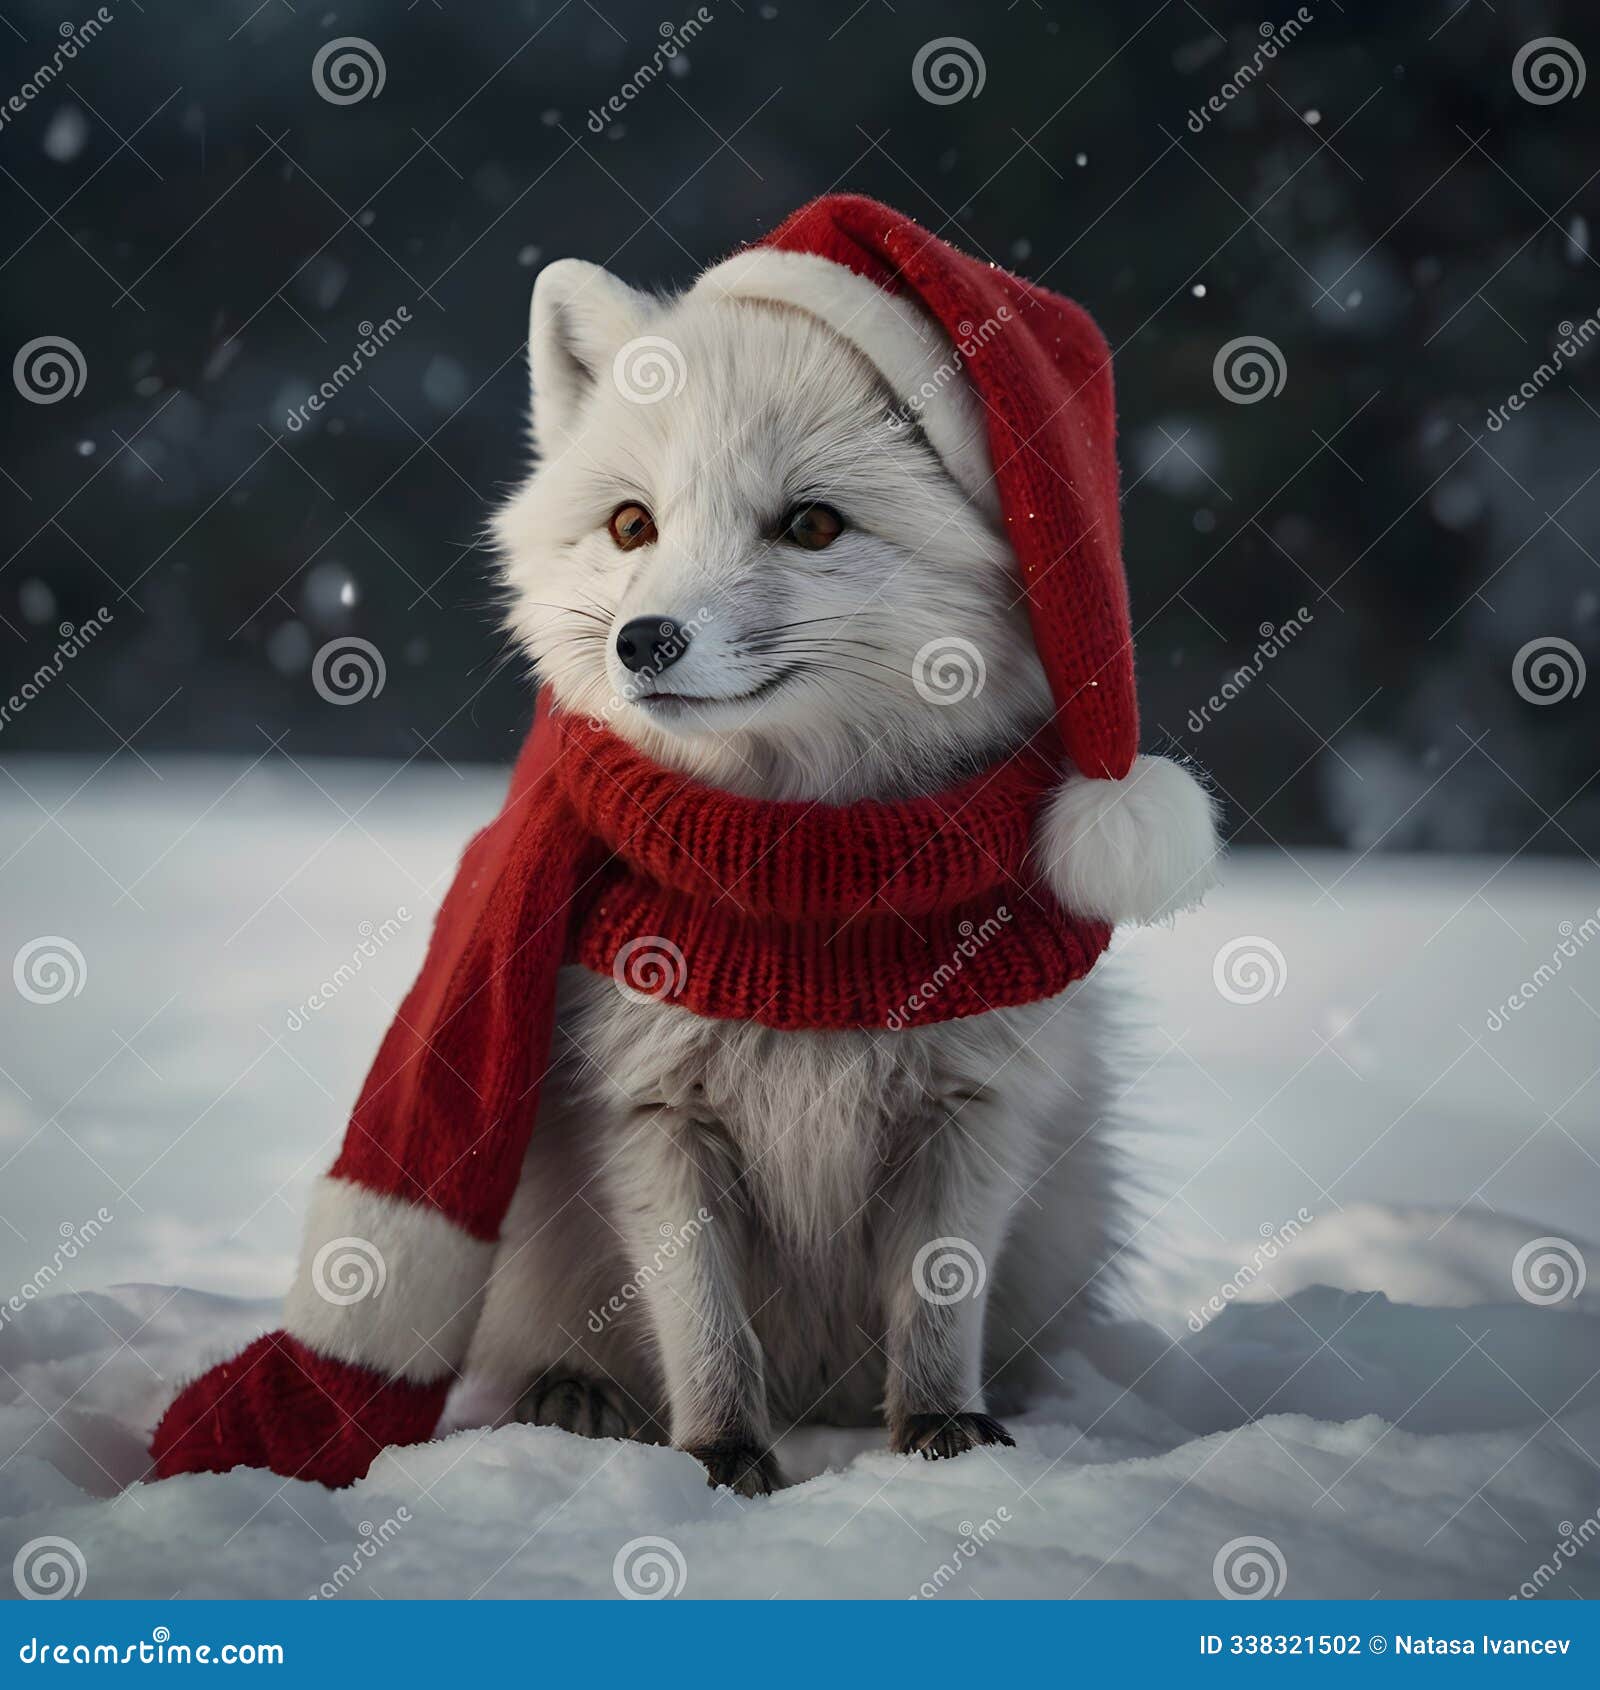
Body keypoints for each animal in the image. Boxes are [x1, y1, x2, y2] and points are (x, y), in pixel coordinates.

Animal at [470, 239, 1208, 1498]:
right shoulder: (654, 1111)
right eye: (632, 523)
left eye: (810, 524)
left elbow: (936, 1311)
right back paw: (573, 1392)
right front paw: (720, 1460)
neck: (797, 896)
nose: (644, 642)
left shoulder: (969, 1105)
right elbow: (706, 1330)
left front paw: (940, 1436)